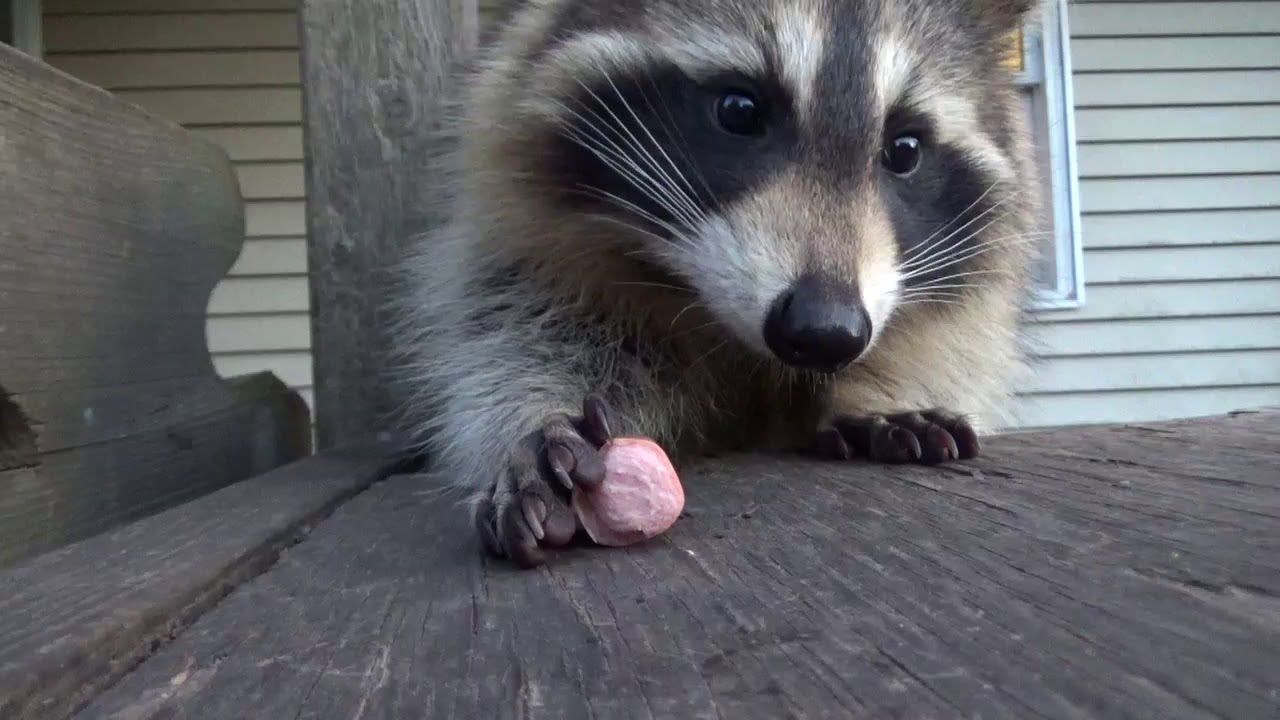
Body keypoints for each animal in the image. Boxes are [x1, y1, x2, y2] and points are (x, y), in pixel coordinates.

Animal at [389, 0, 1044, 568]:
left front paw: (873, 392)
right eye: (738, 110)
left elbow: (944, 337)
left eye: (905, 148)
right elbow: (511, 331)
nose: (824, 331)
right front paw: (538, 416)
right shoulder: (520, 240)